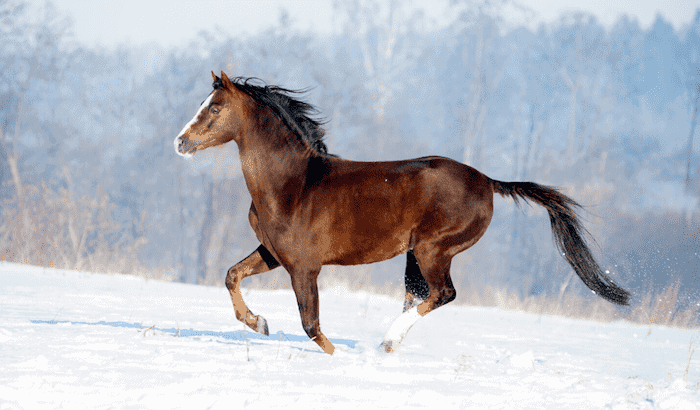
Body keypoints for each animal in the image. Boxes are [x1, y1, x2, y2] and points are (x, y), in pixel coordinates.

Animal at [173, 71, 630, 355]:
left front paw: (338, 358)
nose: (180, 142)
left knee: (443, 294)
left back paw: (389, 340)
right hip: (415, 254)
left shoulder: (304, 266)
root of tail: (488, 181)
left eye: (214, 107)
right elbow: (231, 275)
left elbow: (311, 325)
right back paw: (389, 344)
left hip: (433, 249)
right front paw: (260, 323)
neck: (291, 184)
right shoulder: (273, 253)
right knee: (420, 296)